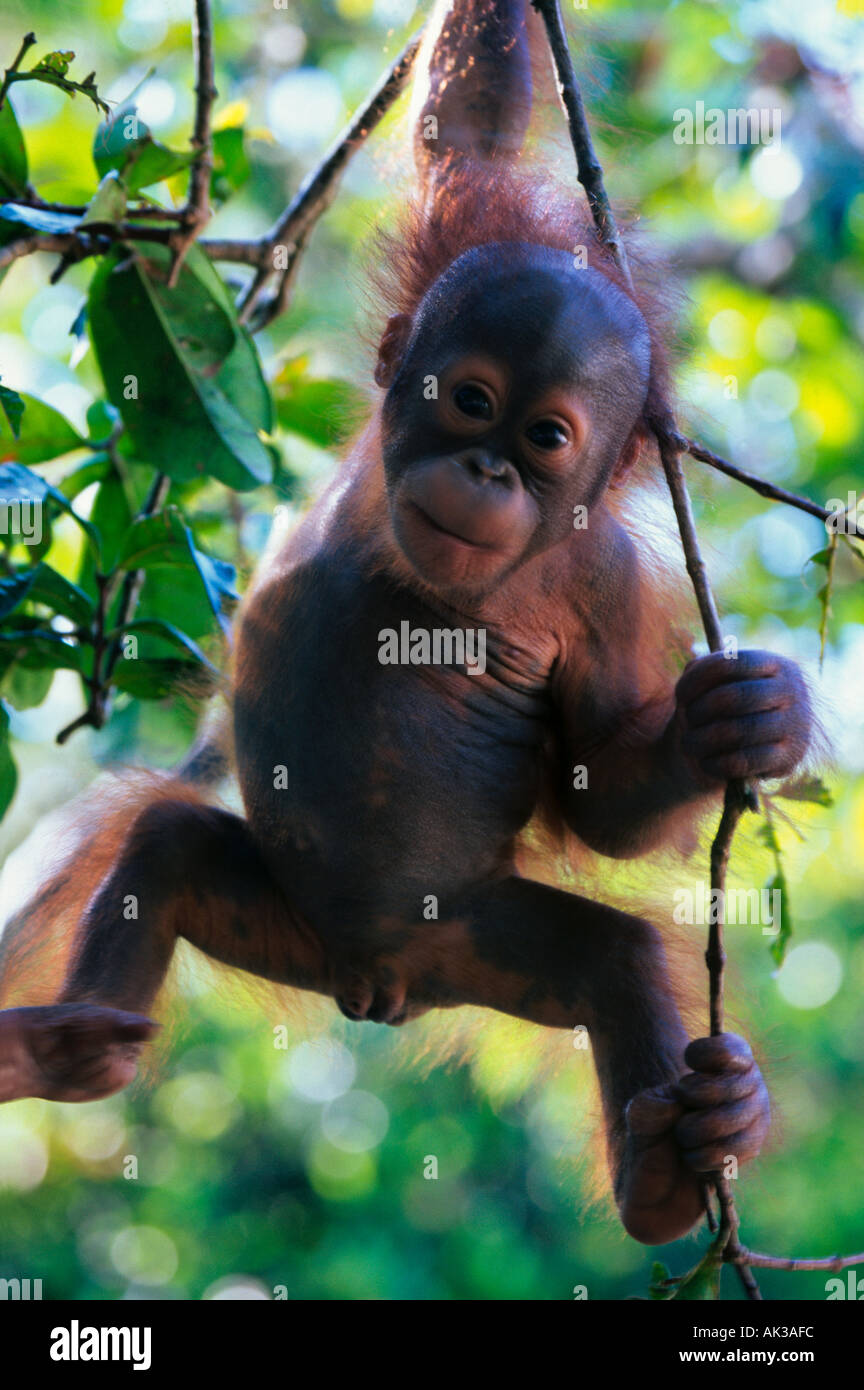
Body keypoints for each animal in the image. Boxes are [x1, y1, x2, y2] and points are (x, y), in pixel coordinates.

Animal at [0, 0, 812, 1247]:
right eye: (471, 400)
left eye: (547, 439)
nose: (486, 469)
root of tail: (378, 982)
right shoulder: (456, 227)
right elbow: (466, 132)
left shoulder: (611, 587)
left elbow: (607, 795)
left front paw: (746, 725)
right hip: (276, 913)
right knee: (169, 847)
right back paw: (55, 1051)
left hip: (477, 936)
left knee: (617, 953)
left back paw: (676, 1171)